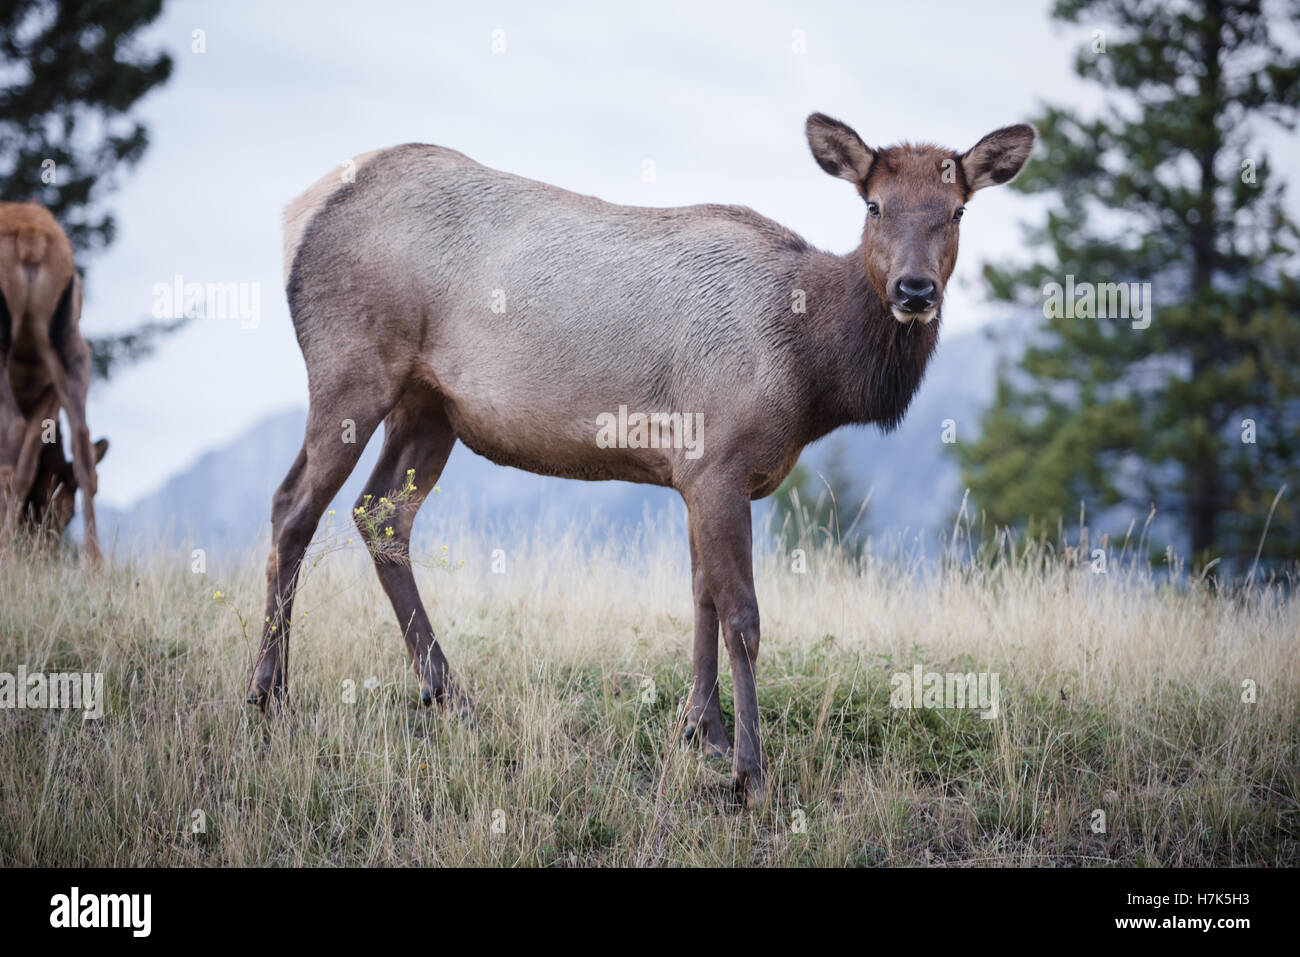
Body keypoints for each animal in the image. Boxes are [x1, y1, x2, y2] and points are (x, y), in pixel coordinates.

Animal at [0, 202, 103, 564]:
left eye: (67, 516)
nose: (45, 552)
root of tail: (32, 239)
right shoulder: (47, 390)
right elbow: (29, 468)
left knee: (12, 430)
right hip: (70, 343)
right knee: (84, 448)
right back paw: (95, 565)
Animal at [250, 113, 1035, 799]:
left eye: (958, 211)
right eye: (874, 205)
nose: (914, 289)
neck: (813, 373)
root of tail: (297, 213)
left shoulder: (695, 473)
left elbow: (700, 597)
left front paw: (702, 732)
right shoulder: (718, 462)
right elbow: (743, 615)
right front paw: (749, 773)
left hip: (428, 406)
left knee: (382, 513)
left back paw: (450, 697)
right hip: (352, 365)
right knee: (294, 506)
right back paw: (268, 697)